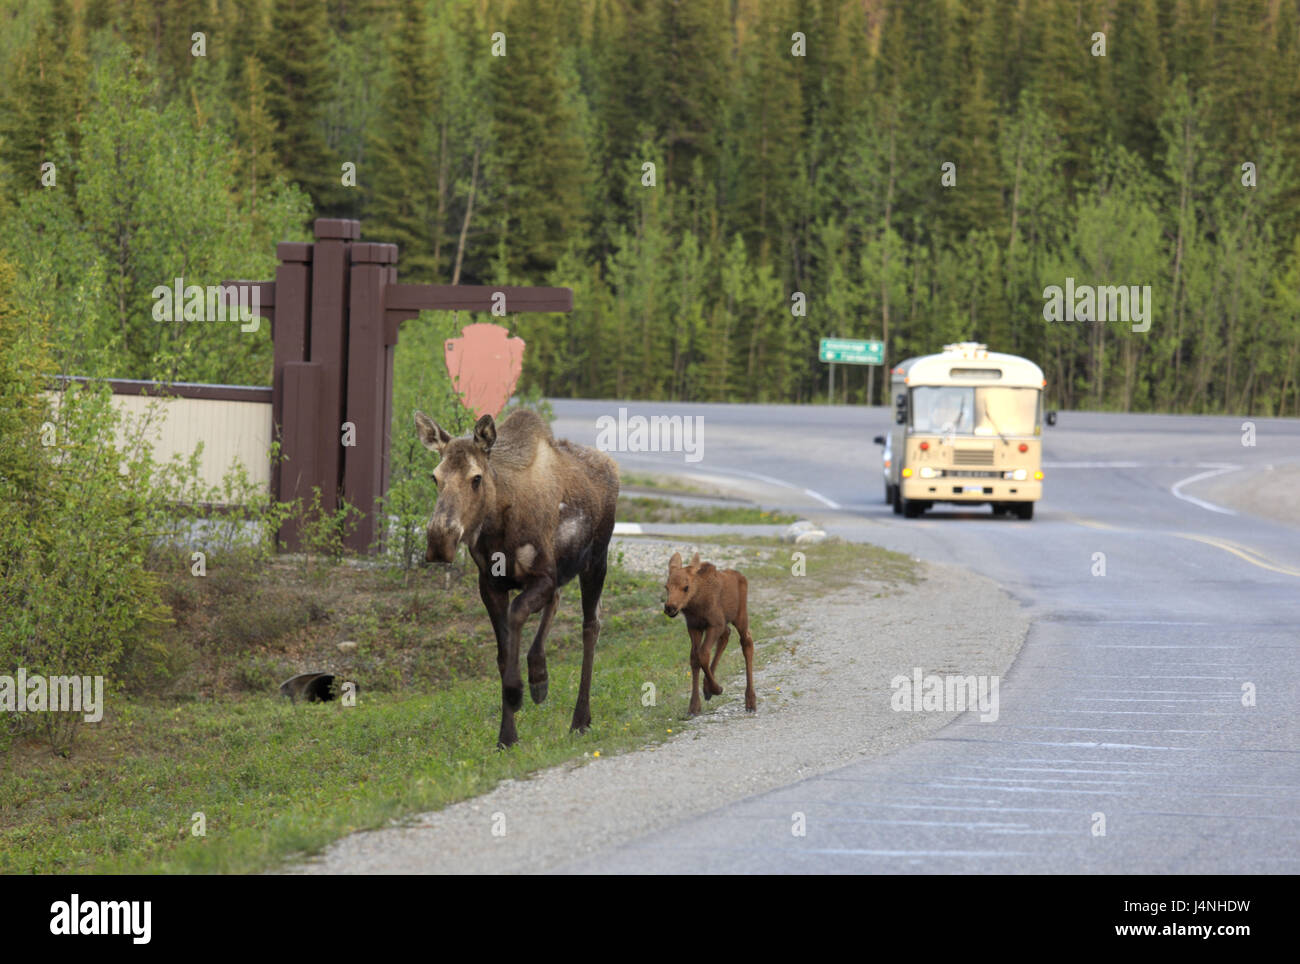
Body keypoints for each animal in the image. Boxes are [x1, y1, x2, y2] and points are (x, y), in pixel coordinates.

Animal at [414, 408, 619, 748]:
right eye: (435, 477)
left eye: (476, 478)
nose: (439, 541)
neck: (498, 529)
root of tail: (612, 466)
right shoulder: (490, 584)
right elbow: (502, 653)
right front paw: (507, 736)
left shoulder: (542, 576)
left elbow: (517, 615)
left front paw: (517, 691)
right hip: (565, 569)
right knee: (558, 603)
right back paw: (539, 674)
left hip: (596, 560)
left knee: (591, 626)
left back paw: (579, 718)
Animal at [663, 552, 757, 717]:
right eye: (666, 587)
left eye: (686, 587)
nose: (670, 607)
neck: (695, 606)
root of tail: (741, 576)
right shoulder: (694, 627)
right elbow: (695, 658)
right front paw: (694, 705)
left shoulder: (715, 624)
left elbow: (703, 654)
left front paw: (717, 688)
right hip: (724, 624)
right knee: (726, 635)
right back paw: (707, 688)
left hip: (740, 617)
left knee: (747, 642)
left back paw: (750, 700)